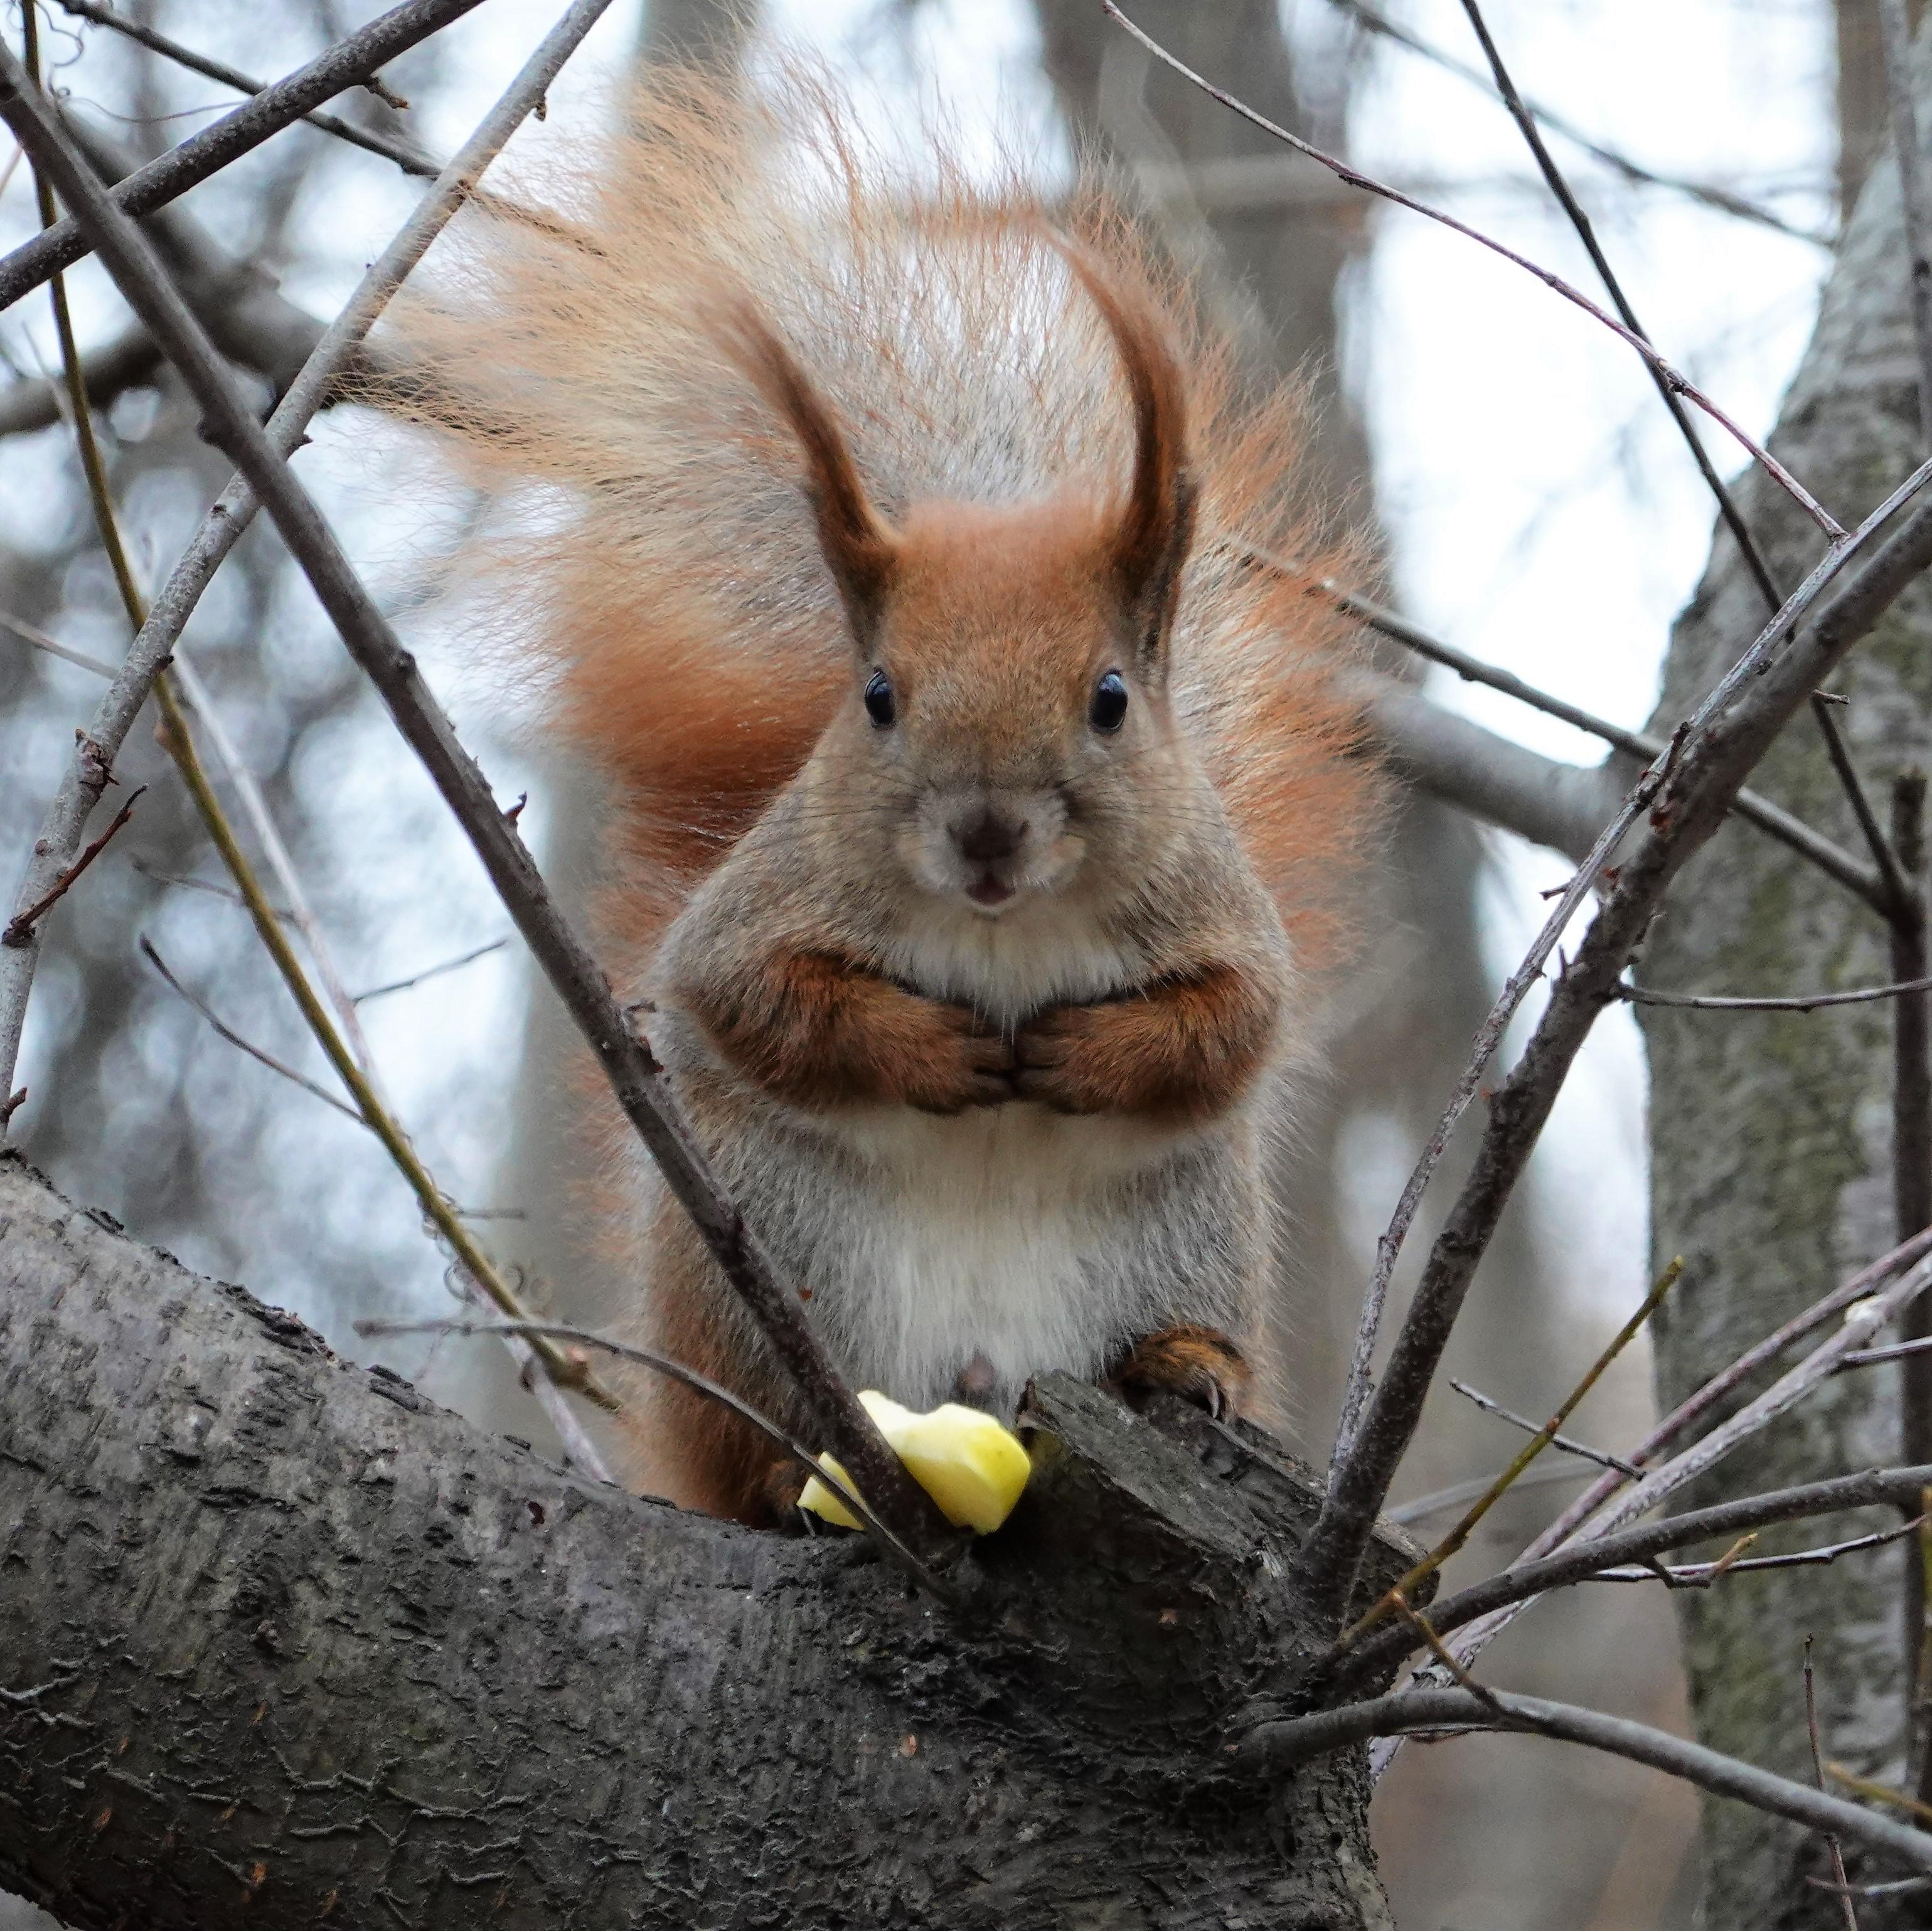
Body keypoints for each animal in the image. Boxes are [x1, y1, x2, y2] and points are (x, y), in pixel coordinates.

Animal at [384, 66, 1385, 1526]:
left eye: (1110, 697)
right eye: (874, 697)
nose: (985, 832)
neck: (1003, 929)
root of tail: (976, 1382)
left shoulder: (1217, 912)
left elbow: (1232, 1024)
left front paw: (1082, 1055)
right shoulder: (757, 910)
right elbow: (751, 1000)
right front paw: (933, 1051)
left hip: (1183, 1233)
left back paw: (1184, 1364)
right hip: (775, 1267)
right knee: (756, 1430)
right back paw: (786, 1459)